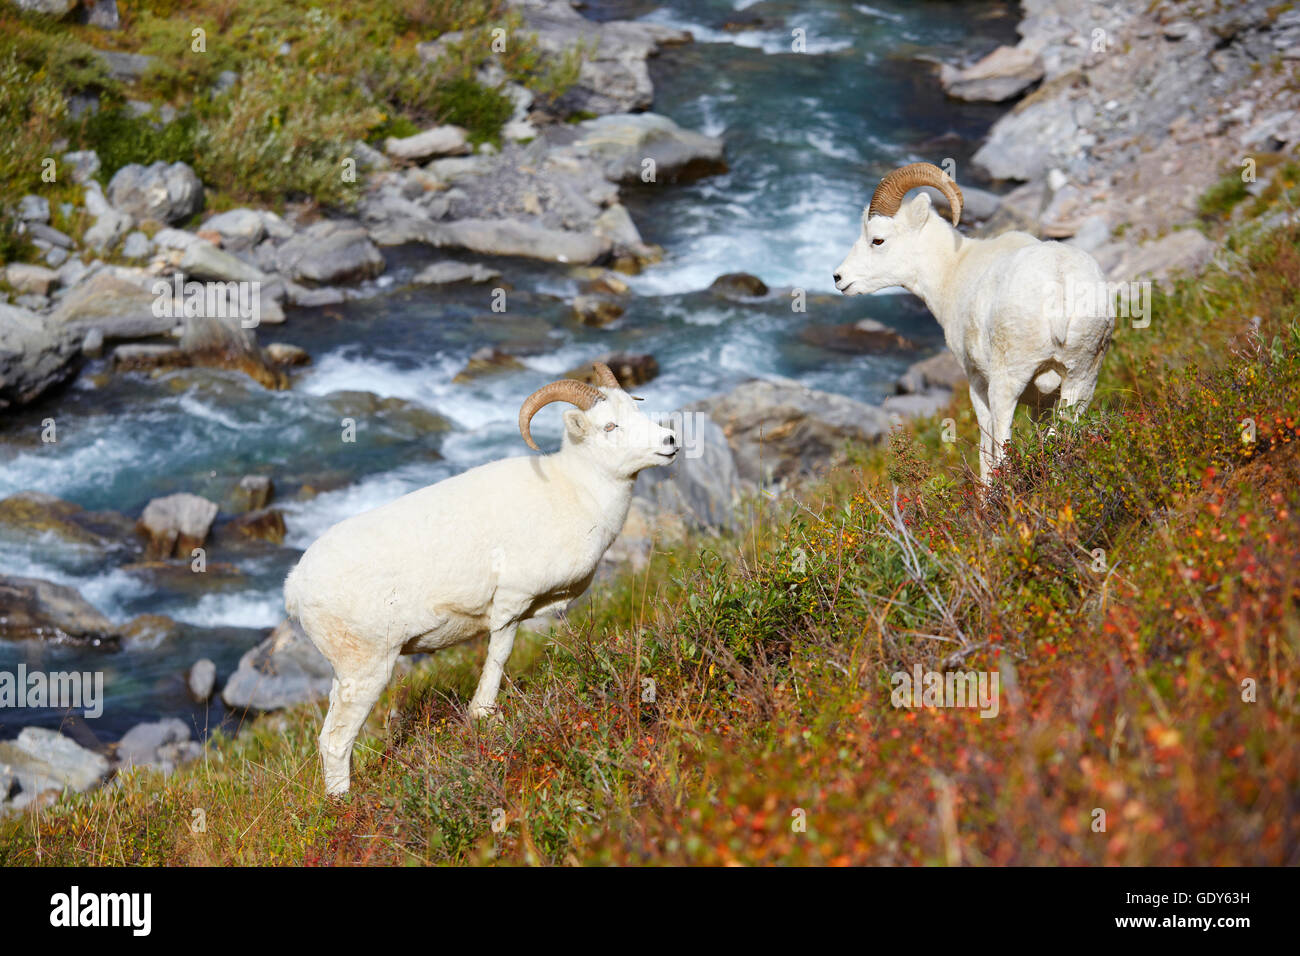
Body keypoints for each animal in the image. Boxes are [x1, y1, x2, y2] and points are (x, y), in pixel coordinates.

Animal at [284, 363, 679, 795]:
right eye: (609, 425)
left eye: (635, 409)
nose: (670, 441)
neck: (575, 492)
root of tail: (296, 586)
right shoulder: (510, 605)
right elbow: (499, 657)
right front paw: (483, 714)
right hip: (367, 667)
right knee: (336, 741)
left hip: (344, 673)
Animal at [833, 163, 1114, 482]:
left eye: (877, 240)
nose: (839, 277)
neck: (953, 270)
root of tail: (1060, 279)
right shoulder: (1044, 401)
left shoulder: (977, 383)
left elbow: (985, 449)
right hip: (1081, 380)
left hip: (1007, 383)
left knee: (1003, 448)